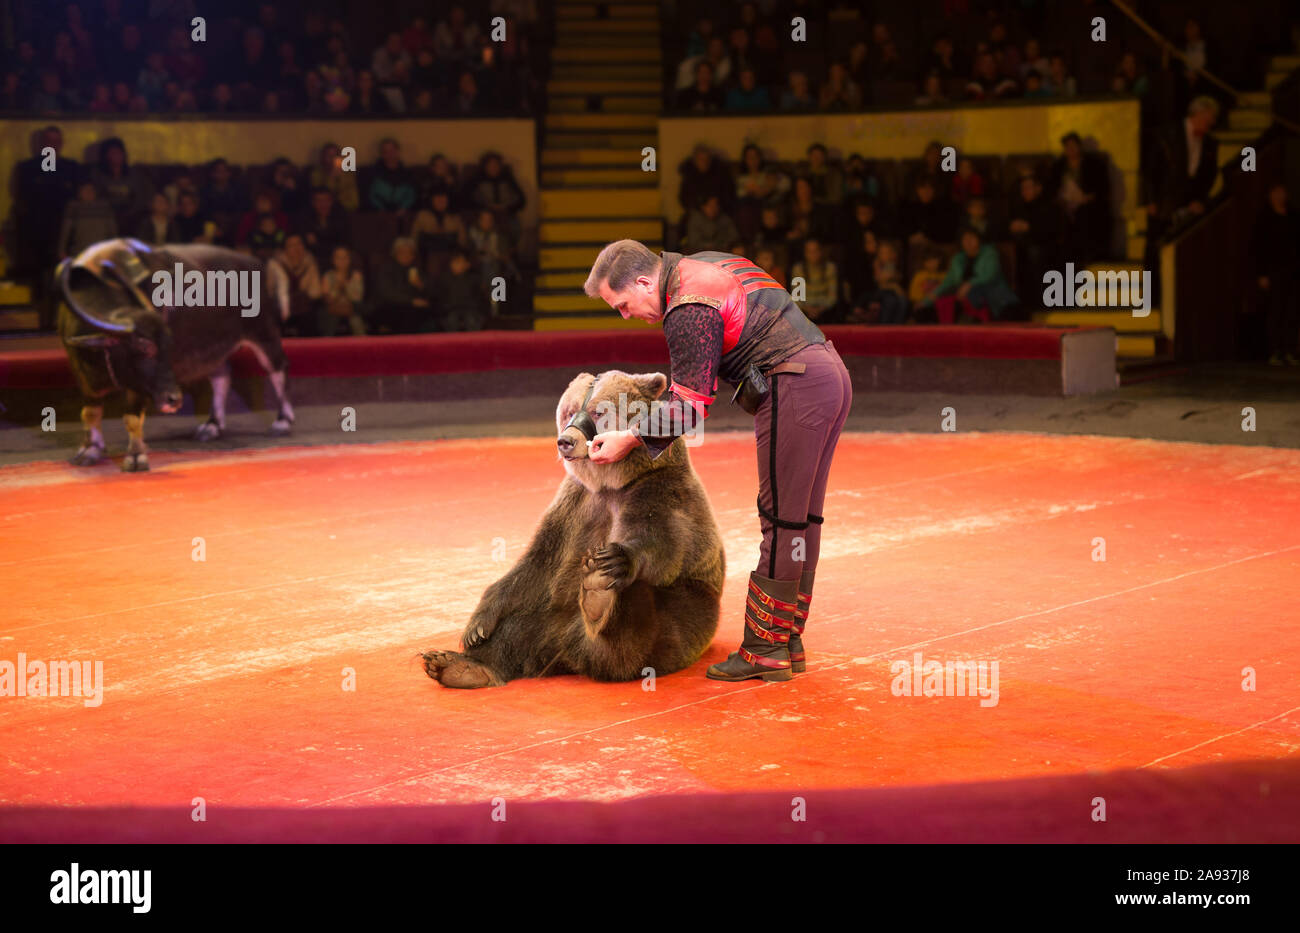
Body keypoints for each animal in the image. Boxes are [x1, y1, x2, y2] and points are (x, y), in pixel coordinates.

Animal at [421, 370, 725, 688]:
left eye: (598, 411)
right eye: (568, 410)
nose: (565, 441)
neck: (609, 483)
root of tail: (573, 652)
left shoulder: (657, 490)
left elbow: (662, 544)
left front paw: (617, 558)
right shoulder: (574, 506)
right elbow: (536, 564)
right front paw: (477, 626)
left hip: (680, 621)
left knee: (636, 631)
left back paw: (598, 590)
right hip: (550, 618)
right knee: (519, 629)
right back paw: (460, 666)